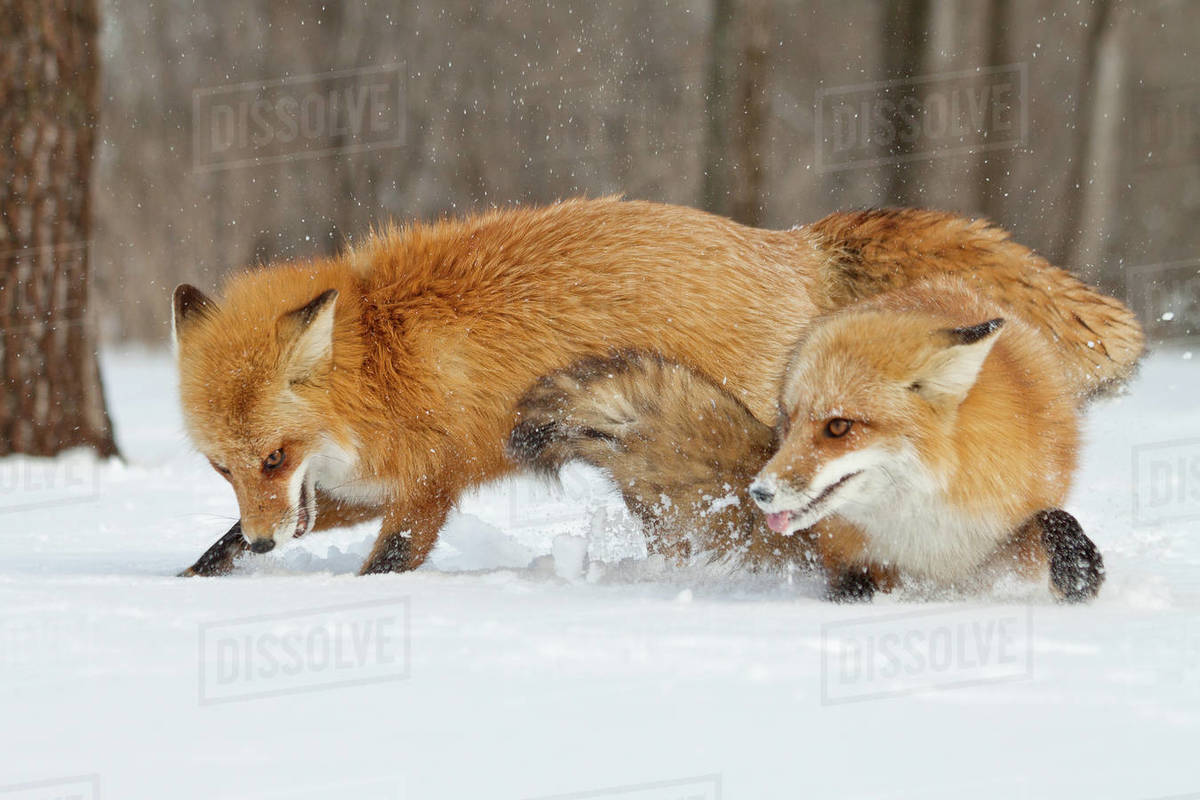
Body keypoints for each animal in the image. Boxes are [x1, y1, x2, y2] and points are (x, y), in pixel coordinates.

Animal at [173, 199, 1141, 577]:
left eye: (273, 453)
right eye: (224, 468)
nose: (266, 544)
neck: (383, 361)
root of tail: (793, 241)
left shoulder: (429, 484)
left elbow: (390, 562)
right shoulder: (352, 489)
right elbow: (226, 546)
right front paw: (195, 576)